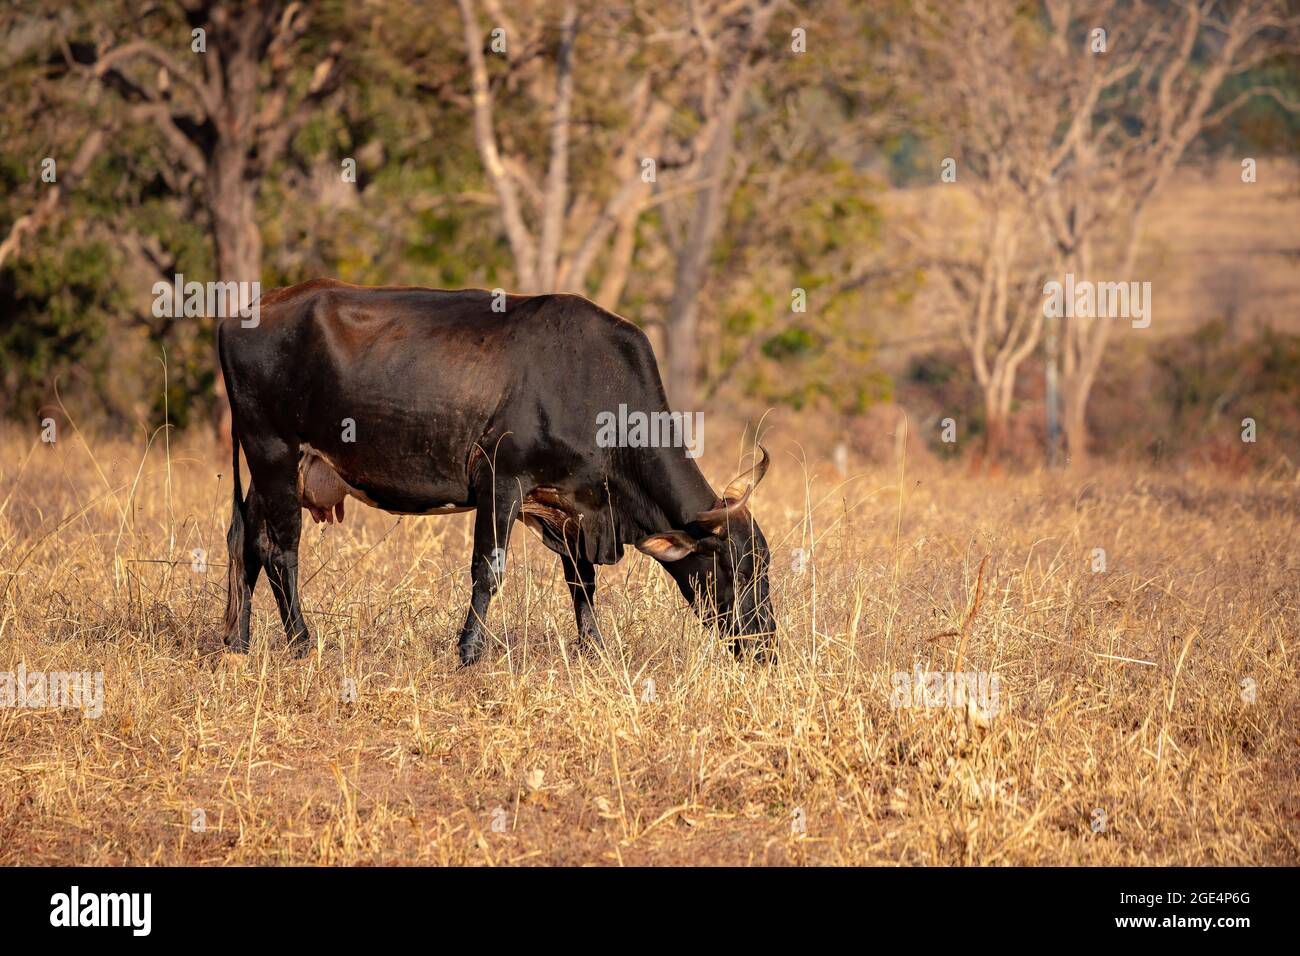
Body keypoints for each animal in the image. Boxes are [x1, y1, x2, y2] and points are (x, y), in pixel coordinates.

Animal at [217, 279, 776, 665]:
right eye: (738, 568)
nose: (766, 644)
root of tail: (245, 313)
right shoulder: (499, 481)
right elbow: (488, 570)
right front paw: (469, 651)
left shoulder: (568, 509)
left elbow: (582, 581)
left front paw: (592, 649)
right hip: (274, 454)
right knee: (280, 552)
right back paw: (301, 643)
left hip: (270, 469)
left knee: (245, 541)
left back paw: (237, 642)